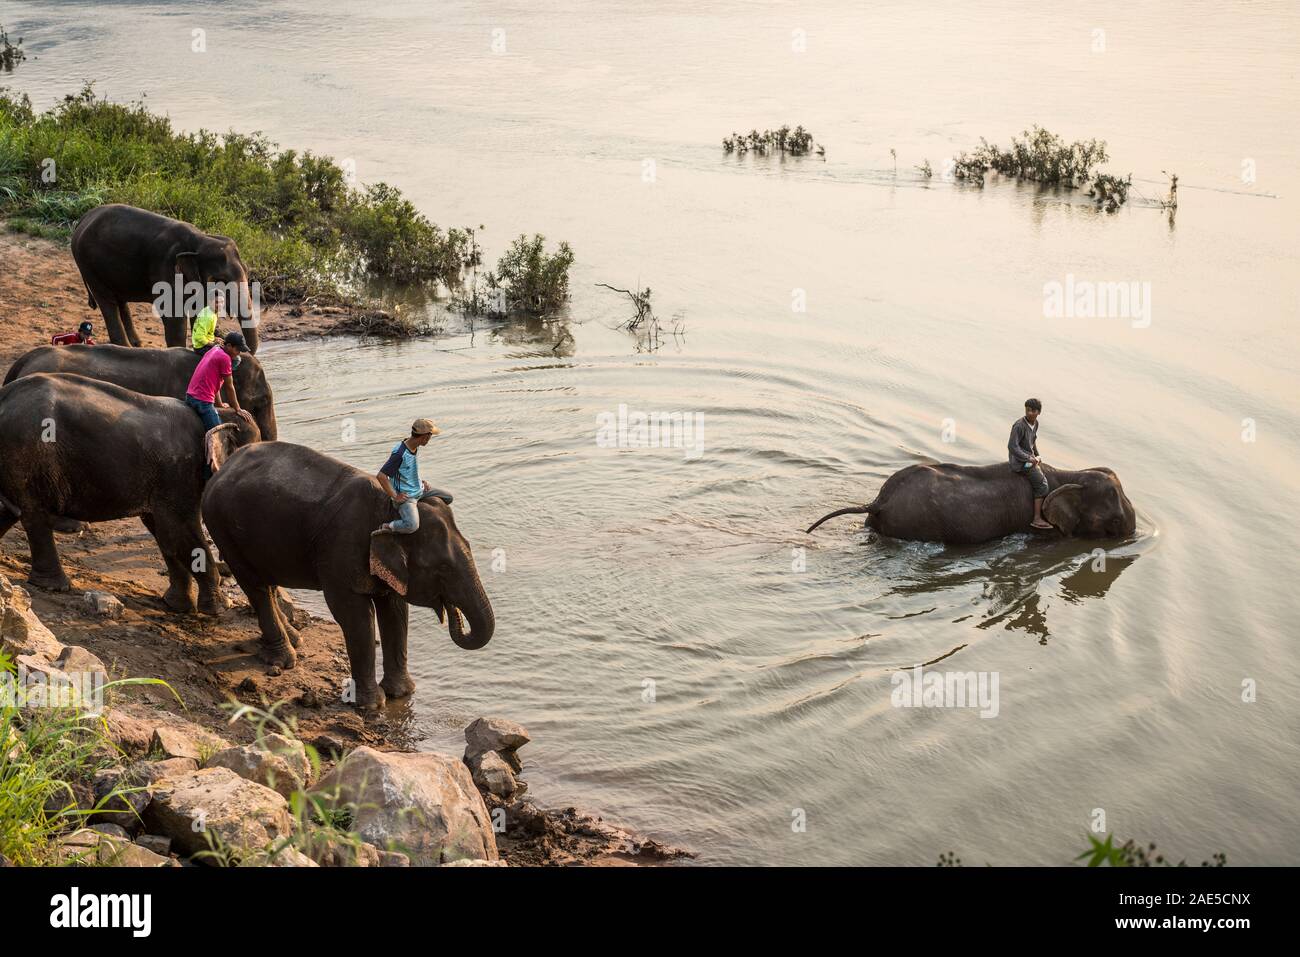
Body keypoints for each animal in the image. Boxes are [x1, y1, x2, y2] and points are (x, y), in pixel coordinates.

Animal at [0, 373, 260, 611]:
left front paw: (177, 606)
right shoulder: (179, 472)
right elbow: (178, 531)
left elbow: (165, 535)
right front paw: (217, 609)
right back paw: (54, 586)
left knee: (11, 512)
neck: (217, 416)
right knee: (35, 515)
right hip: (28, 453)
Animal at [71, 204, 260, 352]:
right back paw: (125, 346)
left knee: (120, 301)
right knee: (107, 301)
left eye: (247, 271)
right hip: (88, 265)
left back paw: (136, 345)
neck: (200, 239)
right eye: (220, 280)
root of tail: (83, 218)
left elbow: (197, 311)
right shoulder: (164, 267)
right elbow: (173, 316)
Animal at [201, 442, 495, 710]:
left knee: (267, 583)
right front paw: (372, 705)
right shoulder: (341, 553)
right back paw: (283, 659)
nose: (453, 613)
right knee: (256, 586)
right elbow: (356, 616)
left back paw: (293, 639)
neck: (388, 508)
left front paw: (401, 693)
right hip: (223, 529)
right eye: (443, 567)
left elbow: (396, 612)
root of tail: (223, 467)